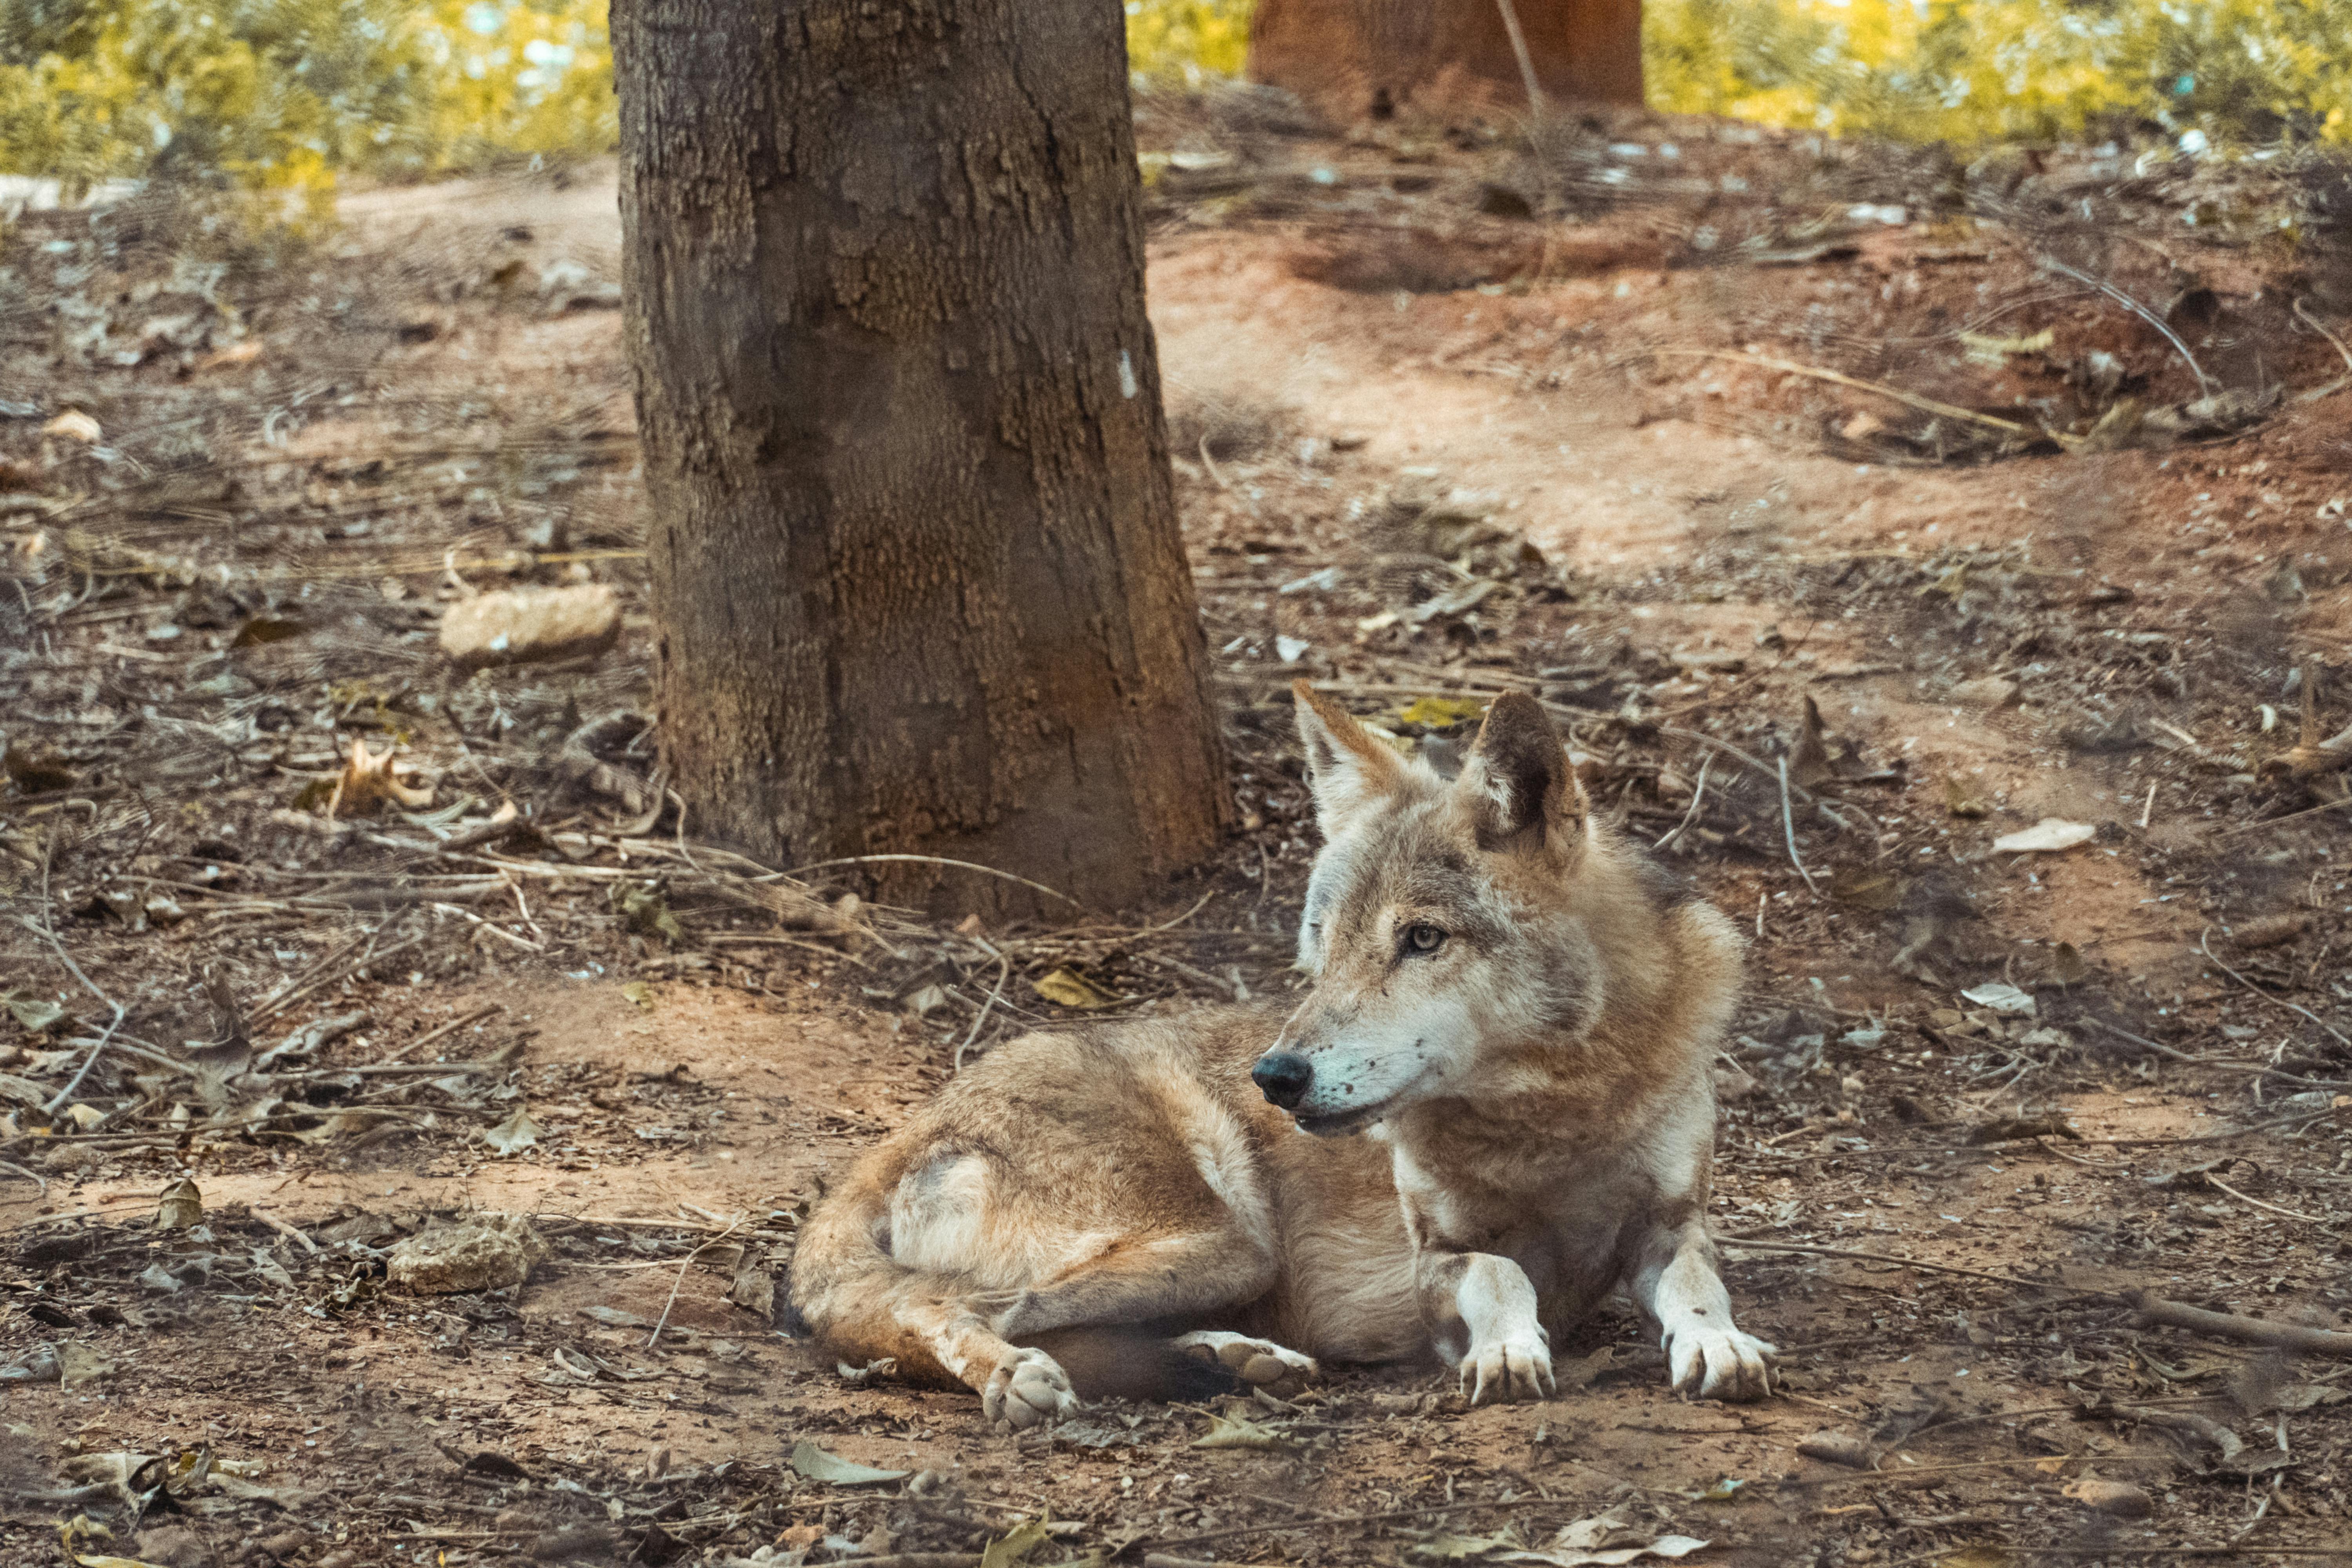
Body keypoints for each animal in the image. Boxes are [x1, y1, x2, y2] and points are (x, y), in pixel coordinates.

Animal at [787, 682, 1771, 1426]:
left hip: (1219, 1261)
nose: (1275, 1076)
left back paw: (1240, 1359)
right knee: (955, 1305)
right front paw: (1506, 1352)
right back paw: (1021, 1377)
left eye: (1422, 938)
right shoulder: (1439, 1252)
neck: (1557, 1112)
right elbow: (1500, 1275)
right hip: (1226, 1242)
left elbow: (1700, 1283)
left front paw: (1721, 1342)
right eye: (1322, 943)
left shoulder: (1672, 1222)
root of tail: (894, 1137)